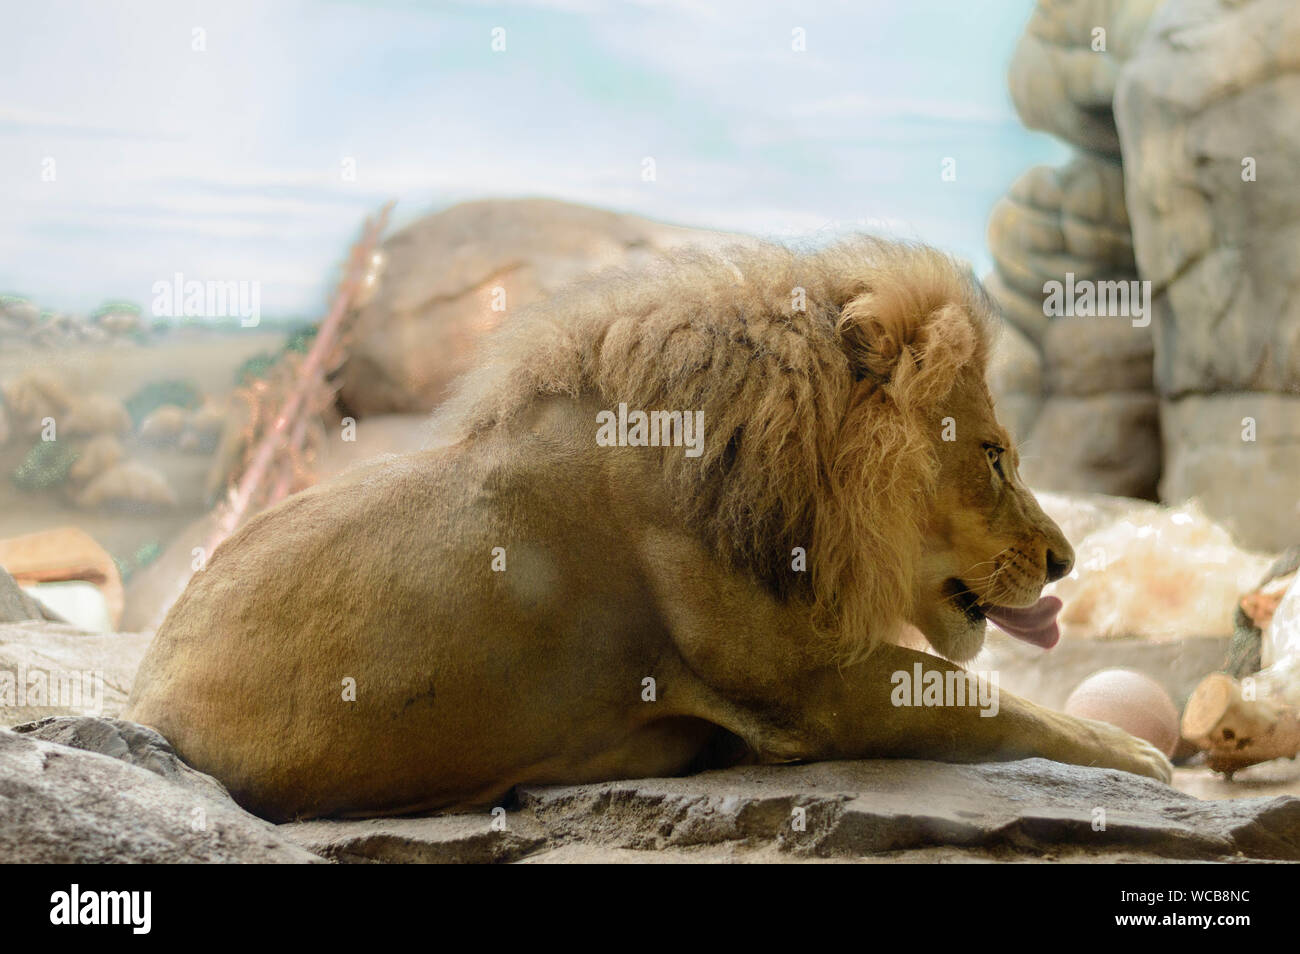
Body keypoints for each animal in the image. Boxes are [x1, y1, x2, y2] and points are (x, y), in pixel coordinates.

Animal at [127, 237, 1172, 821]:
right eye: (994, 454)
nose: (1065, 561)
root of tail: (144, 695)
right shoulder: (810, 694)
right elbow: (999, 704)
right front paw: (1144, 757)